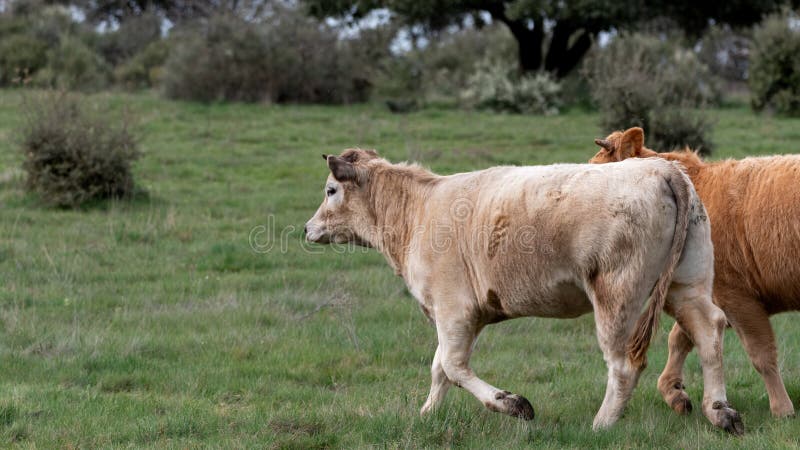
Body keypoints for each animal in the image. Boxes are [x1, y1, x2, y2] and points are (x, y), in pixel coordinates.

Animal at [305, 148, 743, 434]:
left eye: (330, 190)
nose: (308, 228)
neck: (418, 211)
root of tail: (663, 170)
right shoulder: (461, 316)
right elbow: (439, 368)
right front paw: (427, 414)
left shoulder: (453, 309)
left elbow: (452, 366)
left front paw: (514, 404)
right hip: (686, 284)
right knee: (709, 331)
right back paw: (720, 411)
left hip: (617, 296)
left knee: (624, 365)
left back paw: (602, 424)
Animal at [590, 127, 800, 418]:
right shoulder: (698, 296)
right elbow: (680, 338)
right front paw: (673, 392)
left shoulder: (737, 299)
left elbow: (761, 354)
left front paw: (782, 409)